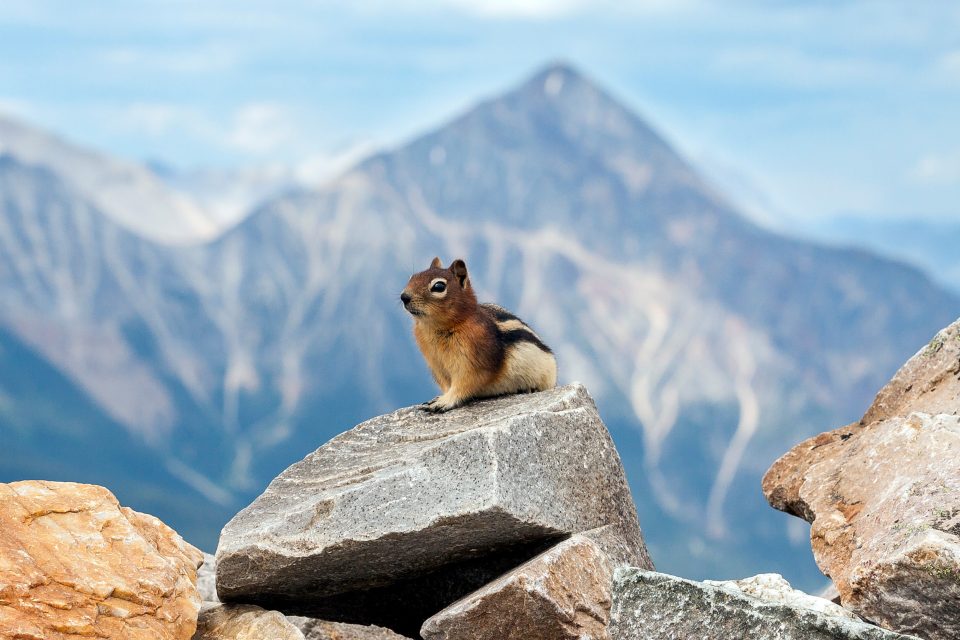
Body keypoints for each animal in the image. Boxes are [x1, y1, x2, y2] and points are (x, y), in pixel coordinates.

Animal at [400, 257, 557, 413]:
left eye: (439, 286)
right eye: (412, 277)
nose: (404, 297)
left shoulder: (473, 361)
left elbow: (465, 383)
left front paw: (445, 401)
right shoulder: (436, 366)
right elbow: (446, 384)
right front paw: (440, 397)